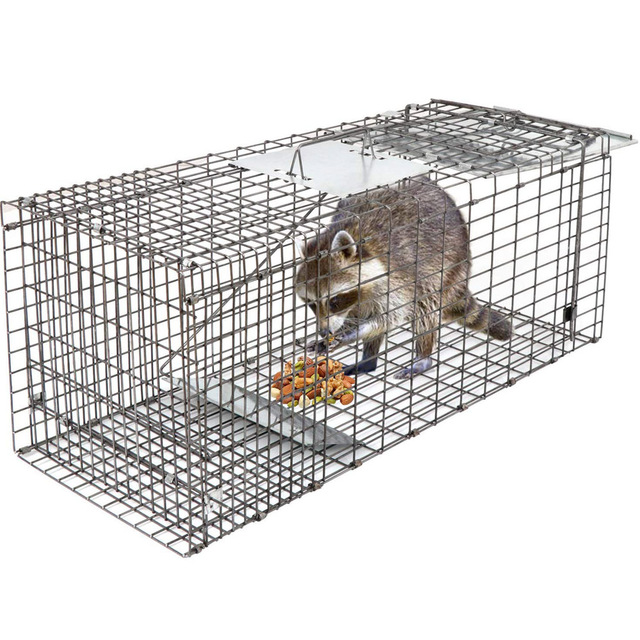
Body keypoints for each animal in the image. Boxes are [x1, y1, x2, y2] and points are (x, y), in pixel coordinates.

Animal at [295, 179, 512, 379]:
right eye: (311, 303)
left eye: (334, 301)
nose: (324, 332)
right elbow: (357, 318)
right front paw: (331, 336)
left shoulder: (396, 278)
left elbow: (387, 317)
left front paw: (351, 334)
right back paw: (368, 361)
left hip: (446, 269)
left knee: (426, 309)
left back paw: (423, 357)